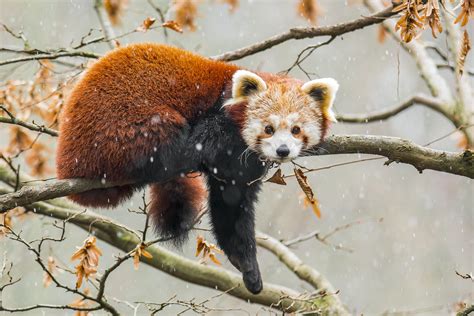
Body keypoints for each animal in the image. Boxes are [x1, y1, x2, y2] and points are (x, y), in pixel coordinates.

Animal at [56, 43, 336, 296]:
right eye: (269, 128)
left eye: (296, 130)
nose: (282, 150)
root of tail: (66, 157)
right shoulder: (216, 123)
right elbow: (206, 146)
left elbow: (231, 205)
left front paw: (248, 266)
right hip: (125, 126)